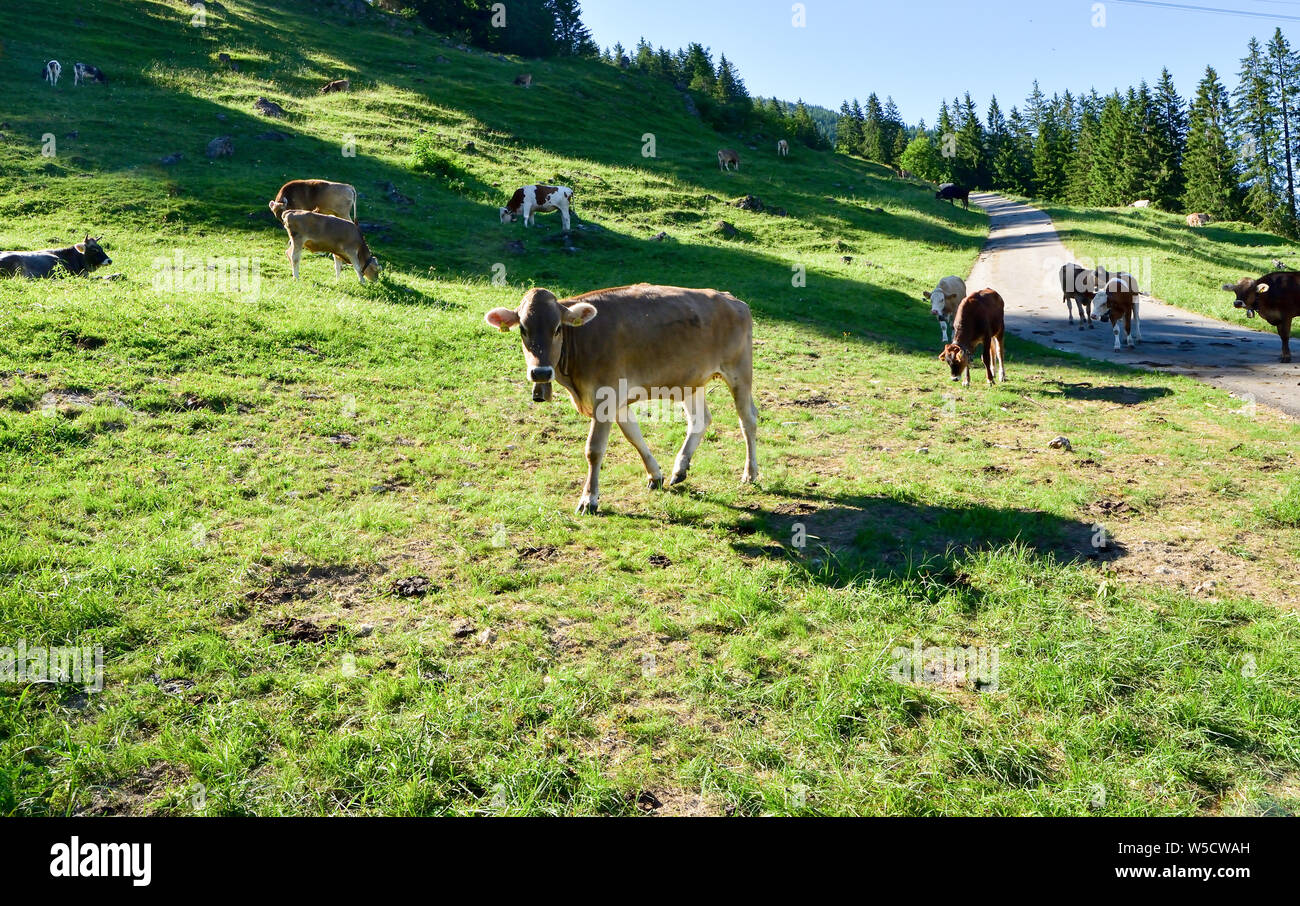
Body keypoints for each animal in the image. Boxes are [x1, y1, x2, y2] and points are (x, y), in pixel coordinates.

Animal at [483, 284, 759, 514]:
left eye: (558, 328)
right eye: (523, 329)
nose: (540, 373)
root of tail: (733, 299)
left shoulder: (606, 397)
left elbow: (594, 450)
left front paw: (589, 500)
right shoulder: (617, 401)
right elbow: (633, 436)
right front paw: (655, 475)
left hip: (739, 372)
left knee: (748, 420)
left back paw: (751, 473)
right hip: (690, 381)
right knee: (700, 420)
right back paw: (679, 469)